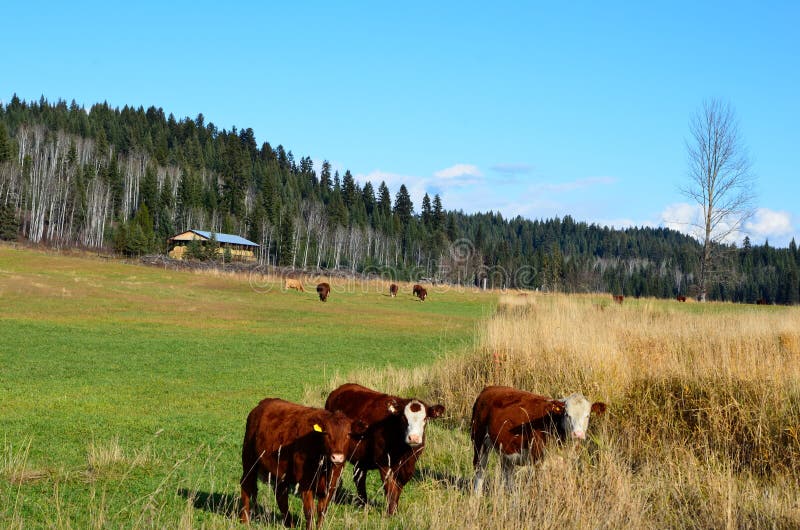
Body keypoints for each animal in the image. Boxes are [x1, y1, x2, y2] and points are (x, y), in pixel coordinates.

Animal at [240, 398, 366, 529]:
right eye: (327, 434)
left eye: (348, 434)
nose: (337, 457)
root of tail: (263, 403)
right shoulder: (306, 484)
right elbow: (309, 512)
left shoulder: (331, 485)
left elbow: (322, 511)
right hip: (249, 459)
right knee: (246, 485)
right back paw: (244, 520)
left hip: (280, 471)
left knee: (280, 495)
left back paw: (289, 523)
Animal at [324, 383, 445, 515]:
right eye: (403, 418)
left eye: (425, 419)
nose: (413, 438)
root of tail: (341, 388)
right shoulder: (384, 463)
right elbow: (390, 488)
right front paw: (391, 512)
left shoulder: (407, 466)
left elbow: (398, 488)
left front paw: (395, 509)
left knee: (359, 477)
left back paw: (363, 503)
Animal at [471, 386, 606, 494]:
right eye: (567, 414)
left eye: (587, 415)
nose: (577, 434)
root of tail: (489, 388)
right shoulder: (538, 459)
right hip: (479, 441)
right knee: (480, 470)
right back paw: (476, 497)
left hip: (506, 449)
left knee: (507, 473)